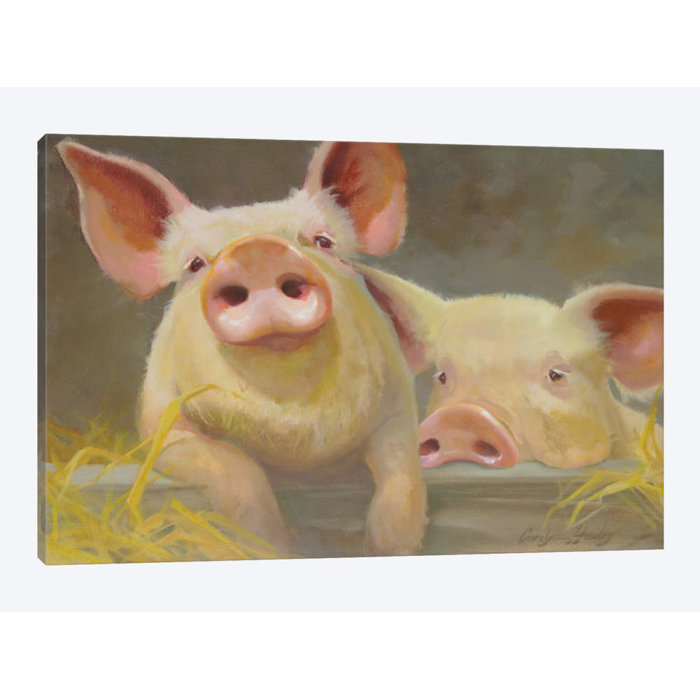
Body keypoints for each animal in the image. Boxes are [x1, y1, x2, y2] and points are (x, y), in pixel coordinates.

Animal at [57, 139, 428, 556]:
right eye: (195, 264)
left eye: (323, 242)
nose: (258, 252)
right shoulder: (162, 426)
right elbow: (232, 467)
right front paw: (270, 547)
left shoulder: (396, 396)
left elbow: (400, 468)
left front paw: (389, 545)